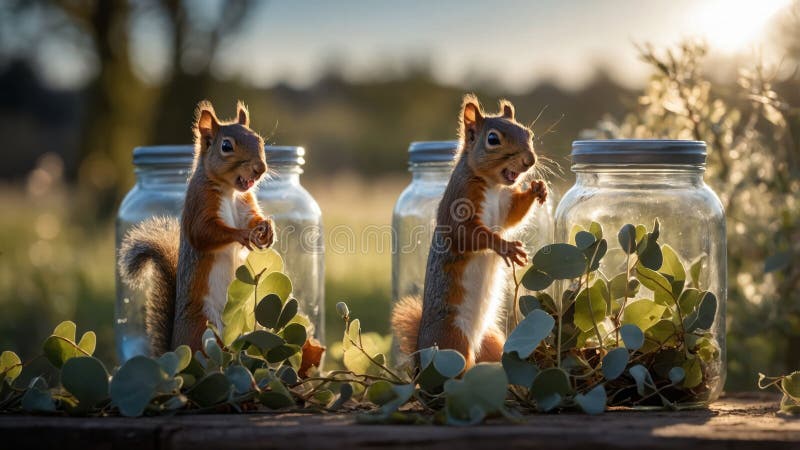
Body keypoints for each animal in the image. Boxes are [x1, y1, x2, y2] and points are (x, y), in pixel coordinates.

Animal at [119, 100, 274, 355]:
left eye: (259, 140)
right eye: (226, 146)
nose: (260, 168)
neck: (230, 192)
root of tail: (174, 346)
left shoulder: (245, 204)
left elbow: (251, 219)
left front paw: (267, 228)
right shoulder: (199, 205)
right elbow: (204, 234)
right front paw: (241, 235)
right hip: (203, 328)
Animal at [391, 94, 547, 369]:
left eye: (528, 133)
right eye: (493, 139)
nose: (530, 161)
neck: (493, 185)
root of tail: (420, 356)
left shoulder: (504, 206)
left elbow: (513, 216)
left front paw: (537, 188)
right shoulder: (458, 204)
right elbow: (469, 235)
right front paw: (506, 246)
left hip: (491, 340)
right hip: (452, 339)